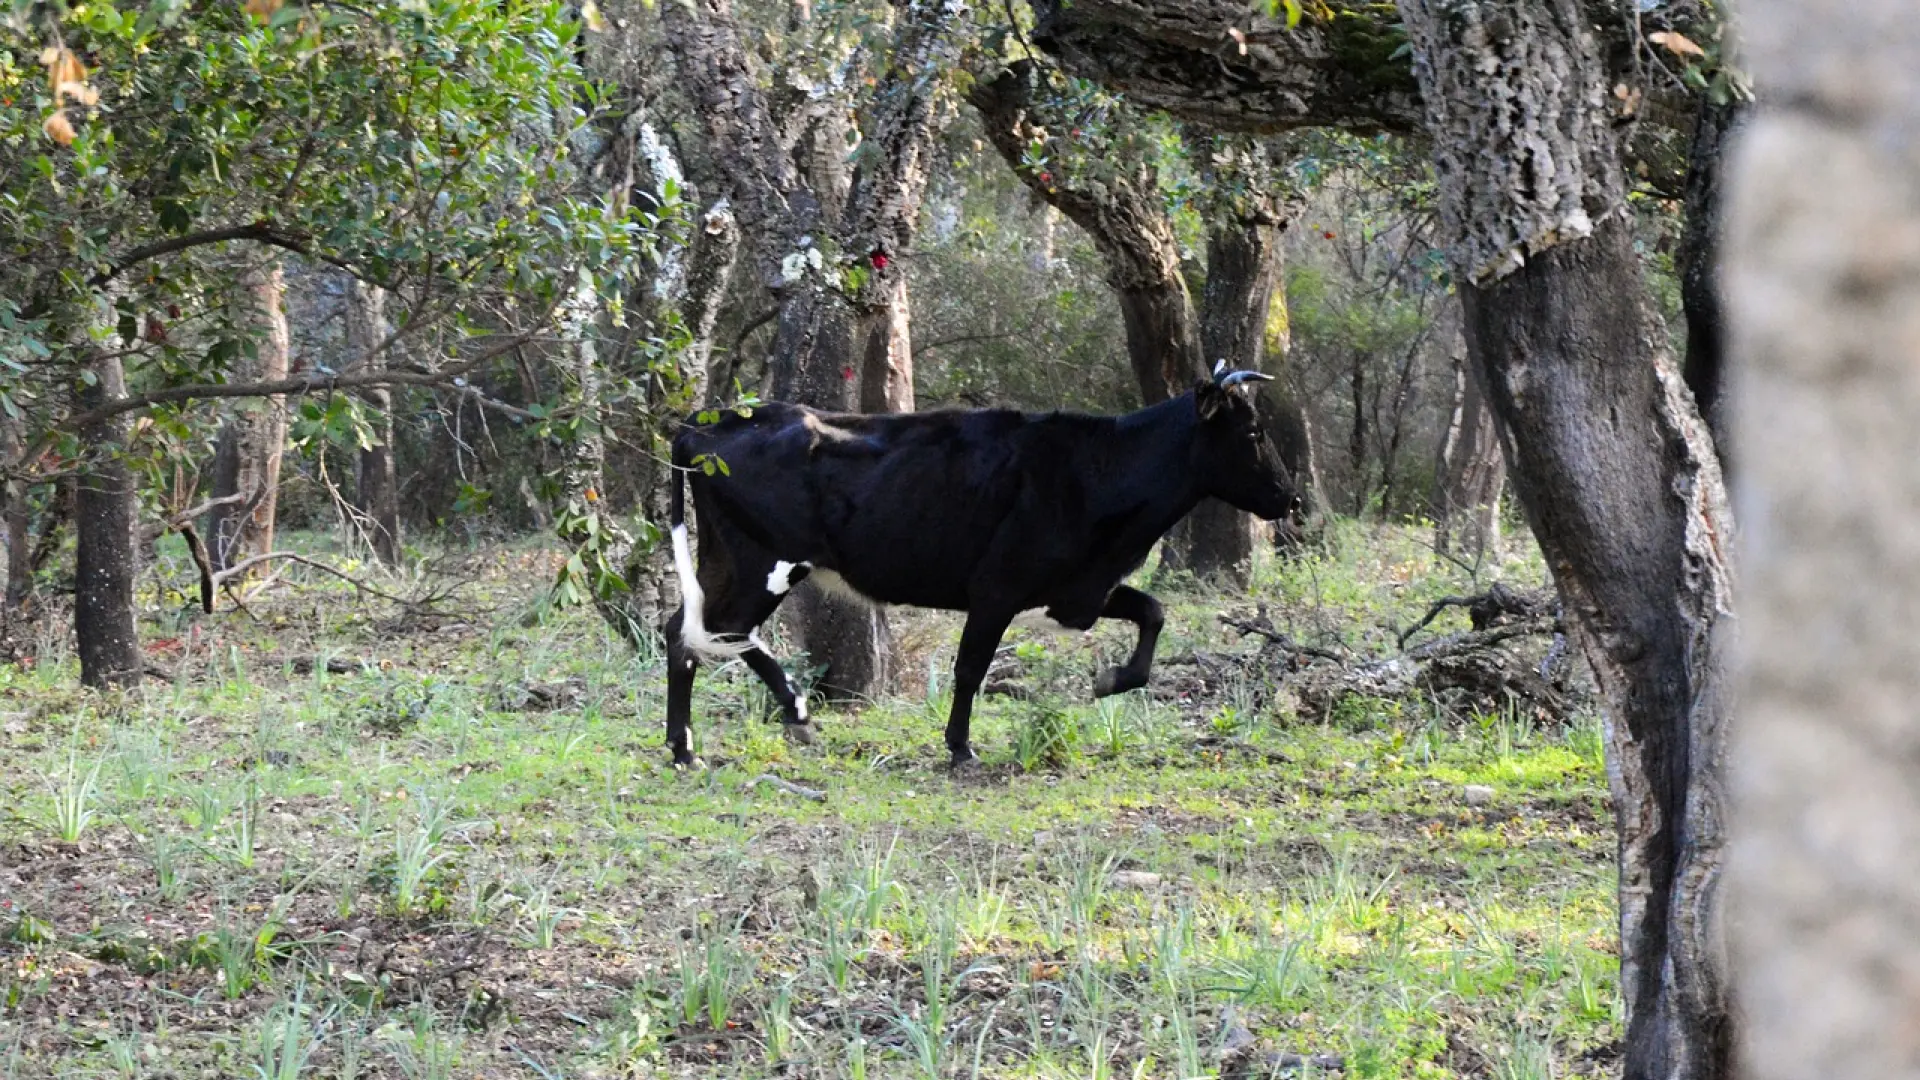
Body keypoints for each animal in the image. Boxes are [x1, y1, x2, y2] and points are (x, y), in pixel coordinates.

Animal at [662, 362, 1299, 768]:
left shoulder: (1078, 587)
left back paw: (685, 747)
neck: (1095, 470)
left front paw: (1109, 679)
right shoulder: (997, 588)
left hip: (728, 557)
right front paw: (960, 747)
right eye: (1252, 431)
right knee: (722, 631)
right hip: (763, 560)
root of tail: (706, 420)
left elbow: (1154, 612)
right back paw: (791, 708)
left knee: (683, 634)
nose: (1289, 498)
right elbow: (971, 668)